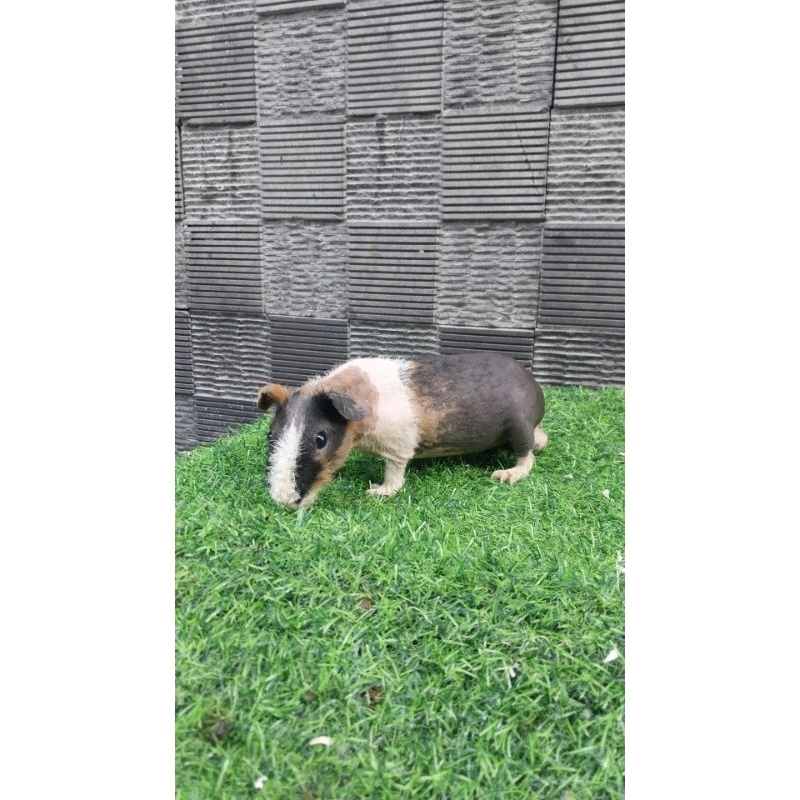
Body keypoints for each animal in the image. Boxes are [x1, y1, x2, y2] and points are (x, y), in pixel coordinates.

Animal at [256, 352, 548, 510]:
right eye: (270, 435)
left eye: (321, 438)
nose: (284, 500)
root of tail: (536, 390)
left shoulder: (398, 449)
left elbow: (395, 477)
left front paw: (376, 491)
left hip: (519, 429)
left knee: (528, 457)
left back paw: (505, 475)